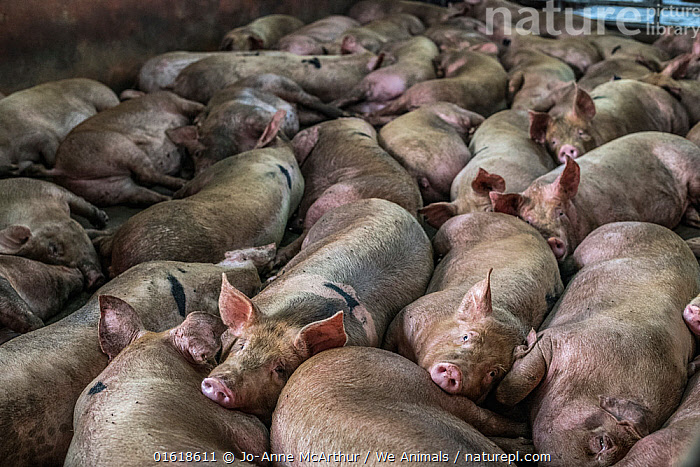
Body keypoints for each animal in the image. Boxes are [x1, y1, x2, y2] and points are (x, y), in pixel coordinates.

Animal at [27, 91, 205, 206]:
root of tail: (61, 168)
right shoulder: (174, 101)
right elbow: (199, 106)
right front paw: (198, 120)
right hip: (119, 147)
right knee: (147, 175)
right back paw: (182, 184)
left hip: (107, 189)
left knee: (140, 194)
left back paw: (169, 198)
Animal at [201, 199, 434, 422]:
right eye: (241, 345)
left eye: (279, 368)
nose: (220, 385)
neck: (293, 318)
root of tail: (396, 207)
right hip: (321, 227)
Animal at [495, 222, 698, 467]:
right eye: (603, 442)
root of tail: (656, 226)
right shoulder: (560, 340)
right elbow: (515, 386)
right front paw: (523, 347)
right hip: (591, 245)